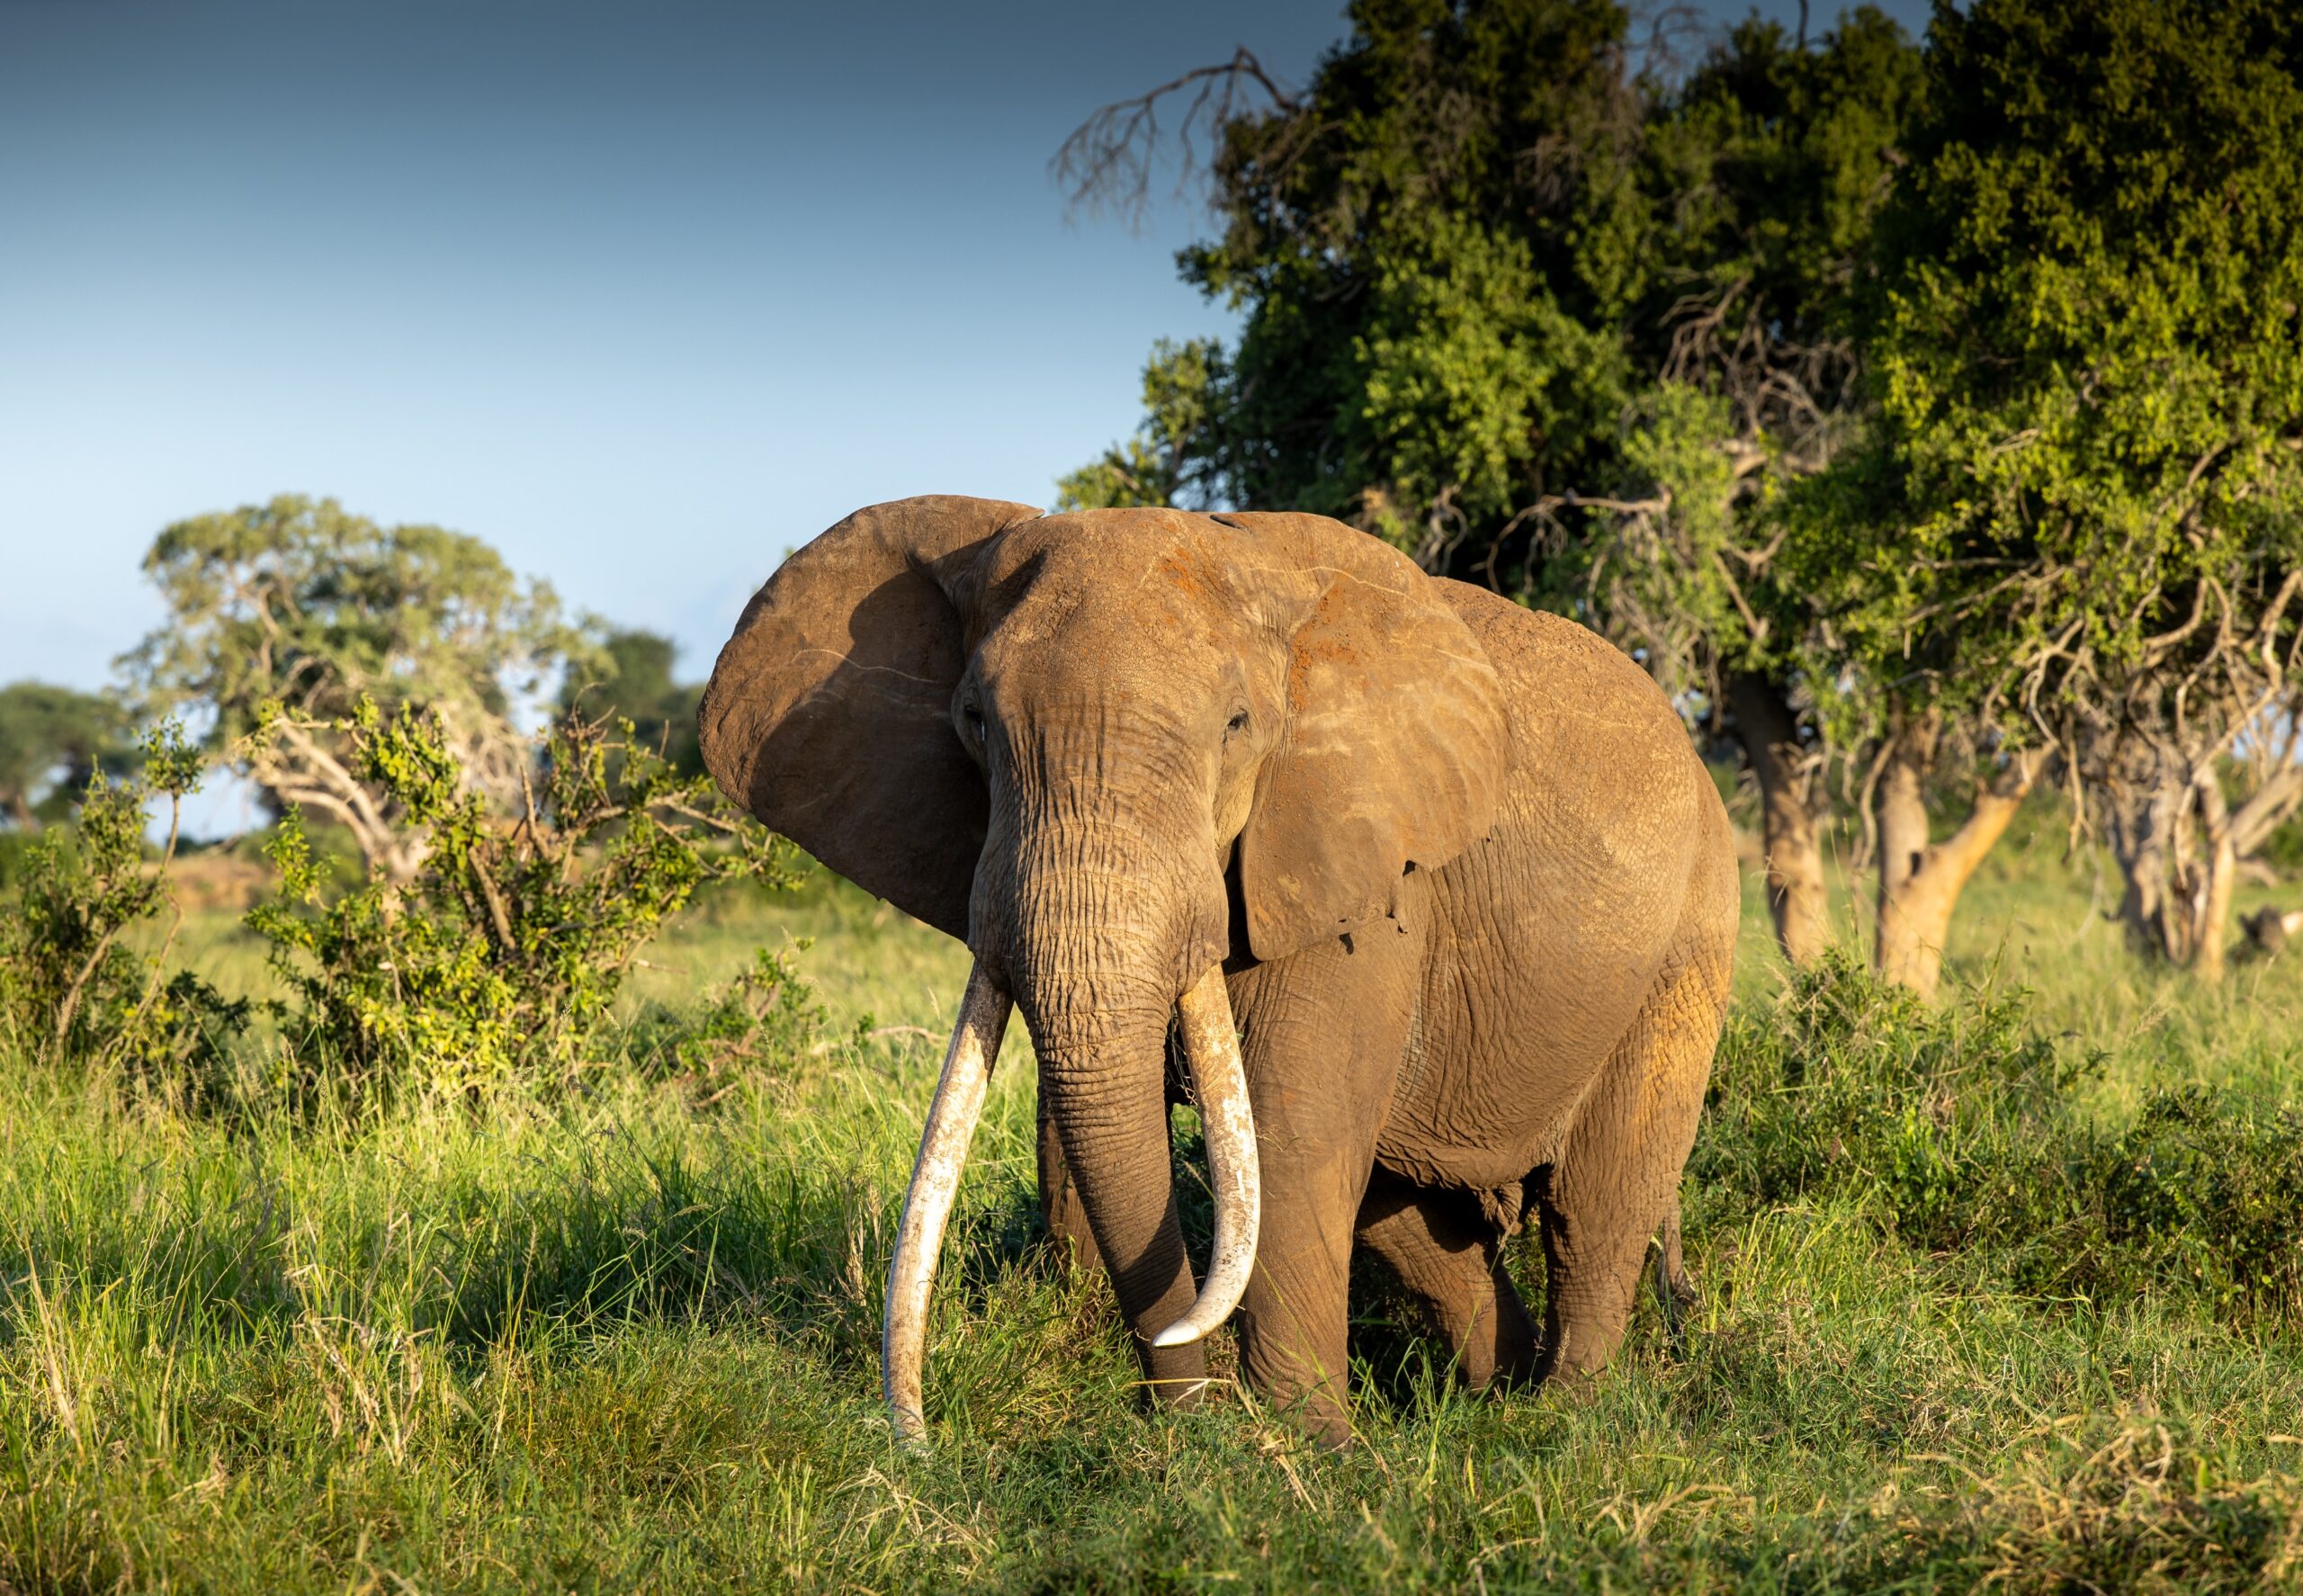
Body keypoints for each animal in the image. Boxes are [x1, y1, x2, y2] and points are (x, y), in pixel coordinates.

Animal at [698, 496, 1738, 1447]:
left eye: (1238, 724)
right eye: (974, 723)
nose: (1188, 1413)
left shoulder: (1350, 868)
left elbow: (1290, 1130)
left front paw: (1300, 1458)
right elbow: (1076, 1132)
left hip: (1688, 942)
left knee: (1595, 1203)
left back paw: (1558, 1424)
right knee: (1409, 1215)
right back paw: (1493, 1400)